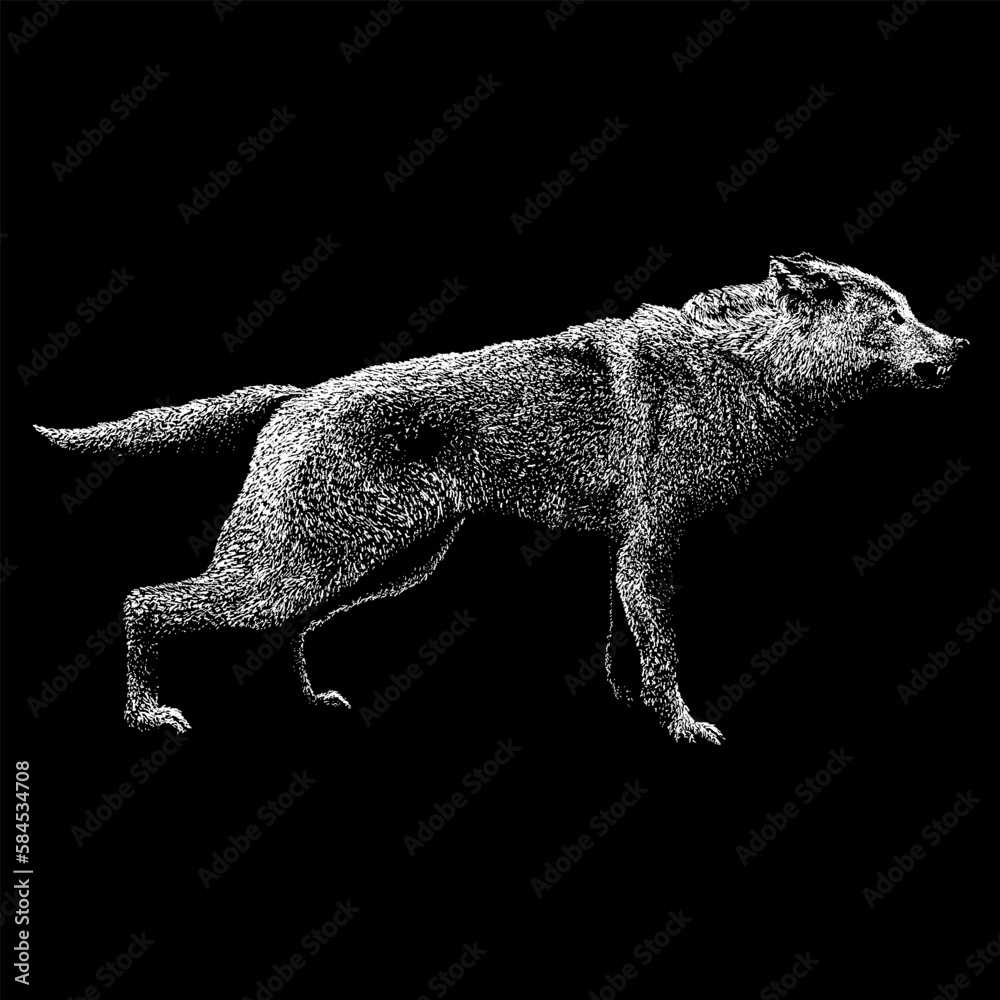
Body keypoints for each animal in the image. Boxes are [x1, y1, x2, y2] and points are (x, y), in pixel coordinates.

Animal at [35, 253, 967, 742]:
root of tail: (293, 396)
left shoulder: (620, 558)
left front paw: (629, 707)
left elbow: (621, 643)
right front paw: (680, 726)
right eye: (891, 319)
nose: (960, 345)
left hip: (382, 566)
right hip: (297, 570)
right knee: (145, 600)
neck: (747, 362)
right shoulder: (649, 548)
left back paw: (314, 703)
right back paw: (147, 714)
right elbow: (664, 652)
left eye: (913, 310)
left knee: (291, 630)